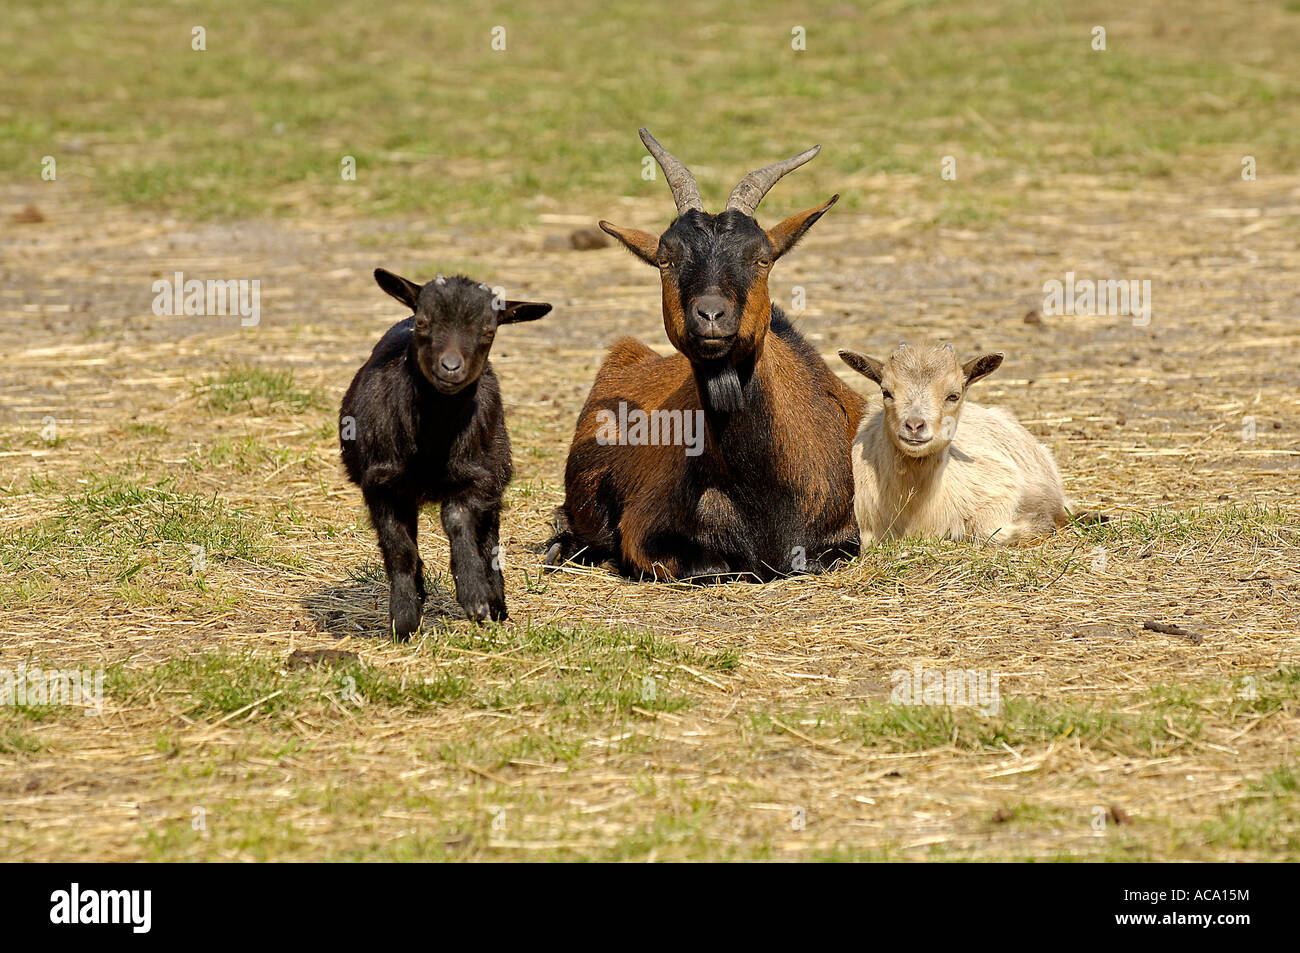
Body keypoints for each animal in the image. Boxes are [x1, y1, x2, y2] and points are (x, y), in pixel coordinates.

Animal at [340, 269, 551, 637]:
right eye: (423, 322)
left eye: (489, 331)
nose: (450, 367)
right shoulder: (381, 482)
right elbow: (400, 549)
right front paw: (404, 618)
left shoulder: (474, 477)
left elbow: (459, 523)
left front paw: (475, 597)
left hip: (496, 469)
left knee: (489, 536)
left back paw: (496, 601)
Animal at [546, 128, 865, 581]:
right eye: (665, 259)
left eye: (762, 258)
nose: (711, 315)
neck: (759, 491)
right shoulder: (646, 533)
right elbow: (710, 567)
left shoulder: (842, 538)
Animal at [837, 343, 1070, 545]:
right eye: (886, 392)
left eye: (953, 395)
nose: (914, 426)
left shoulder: (1000, 487)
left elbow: (990, 532)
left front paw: (1041, 523)